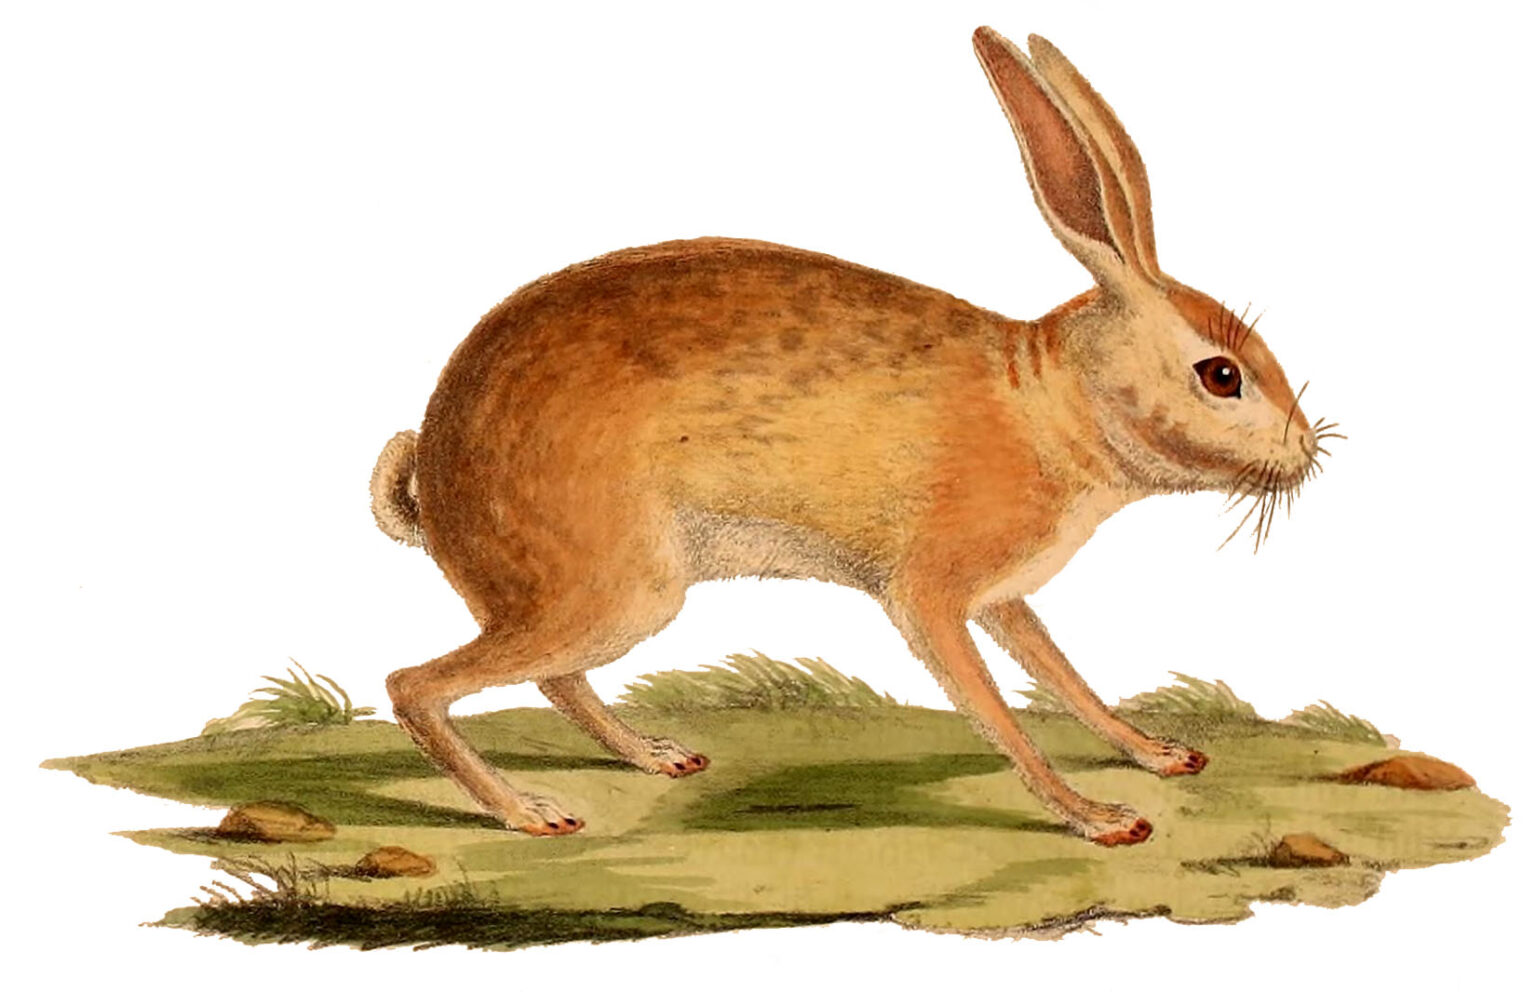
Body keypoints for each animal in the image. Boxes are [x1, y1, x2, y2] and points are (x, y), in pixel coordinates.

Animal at [370, 26, 1328, 846]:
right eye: (1222, 376)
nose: (1307, 454)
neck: (1054, 405)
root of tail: (434, 473)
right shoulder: (929, 595)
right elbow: (998, 714)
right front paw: (1099, 818)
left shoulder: (1004, 597)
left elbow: (1063, 675)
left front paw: (1161, 754)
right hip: (618, 592)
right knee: (415, 686)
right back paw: (529, 811)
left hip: (605, 603)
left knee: (550, 678)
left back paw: (656, 756)